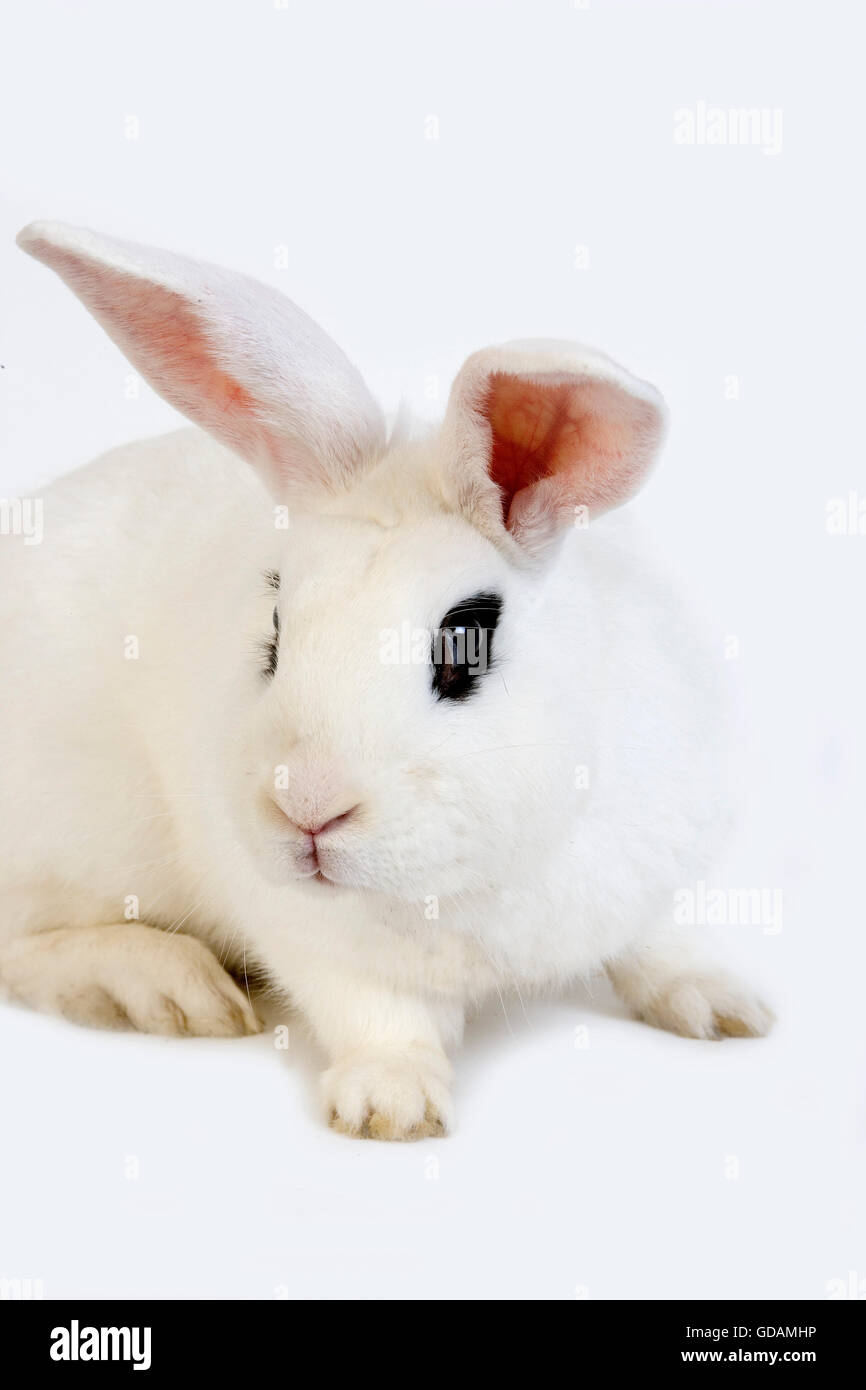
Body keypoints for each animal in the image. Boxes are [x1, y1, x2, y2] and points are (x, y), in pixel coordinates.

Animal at [0, 221, 774, 1140]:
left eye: (465, 641)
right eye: (276, 629)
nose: (308, 807)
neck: (476, 879)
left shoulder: (655, 874)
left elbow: (666, 945)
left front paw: (730, 1009)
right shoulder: (325, 949)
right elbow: (380, 1021)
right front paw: (392, 1107)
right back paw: (166, 988)